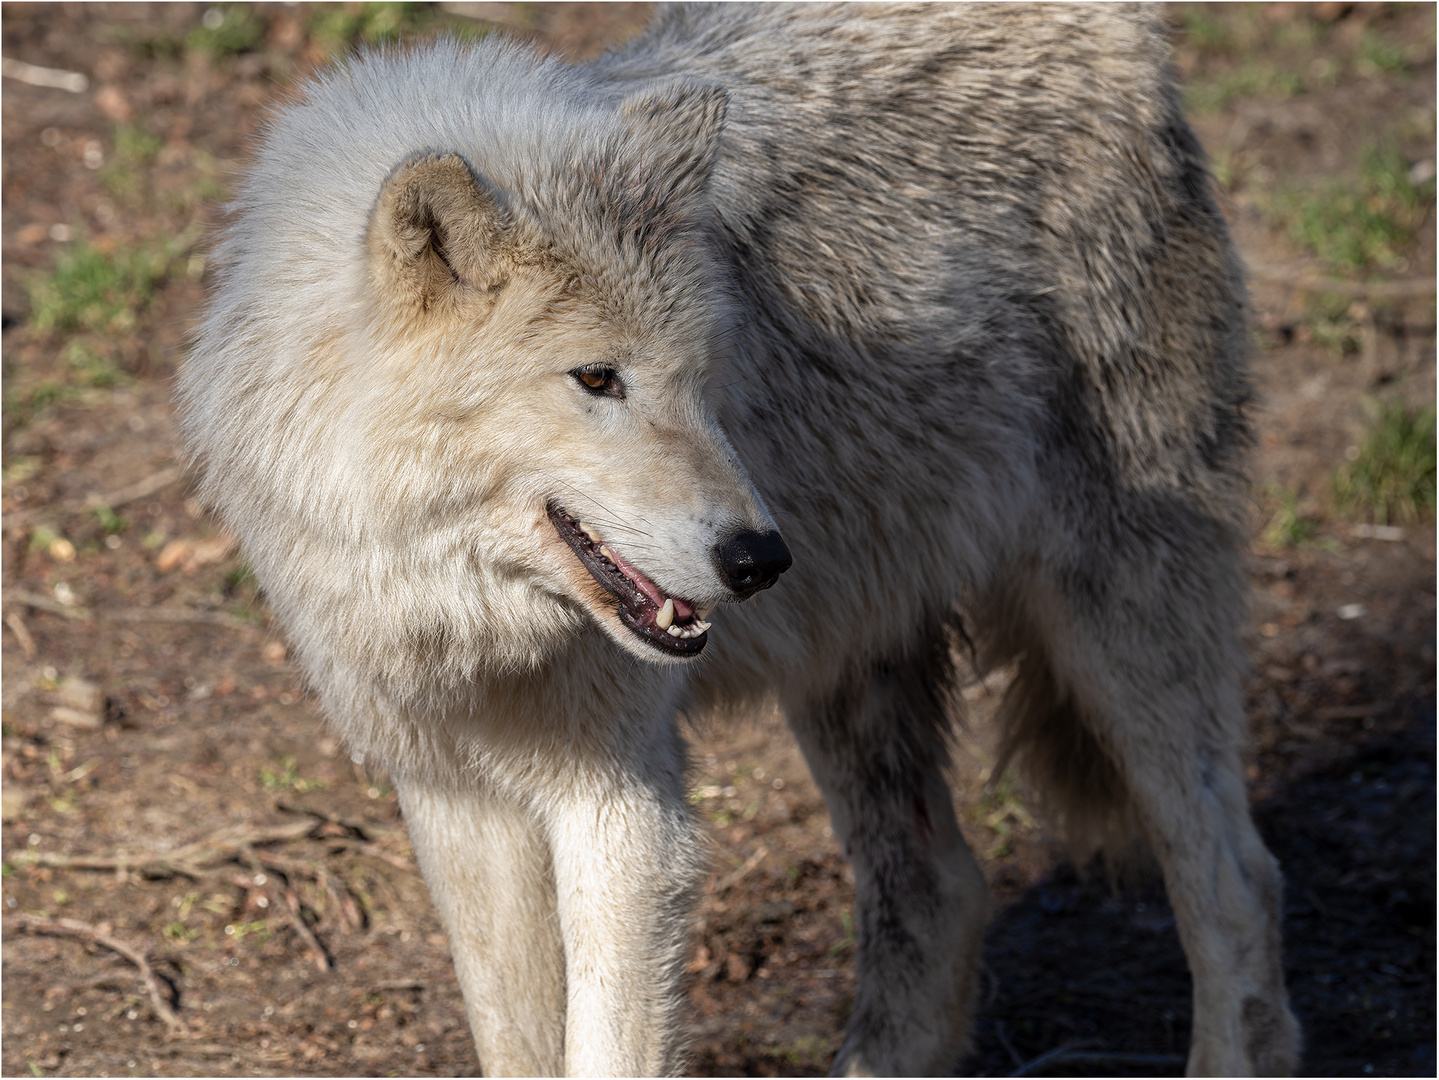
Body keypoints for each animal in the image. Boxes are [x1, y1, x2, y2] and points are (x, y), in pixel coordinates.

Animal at [178, 3, 1299, 1075]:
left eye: (700, 376)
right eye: (597, 378)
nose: (758, 559)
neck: (472, 607)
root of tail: (1122, 29)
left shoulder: (626, 817)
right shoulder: (456, 806)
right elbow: (514, 1042)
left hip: (1116, 622)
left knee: (1233, 874)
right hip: (850, 668)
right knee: (941, 892)